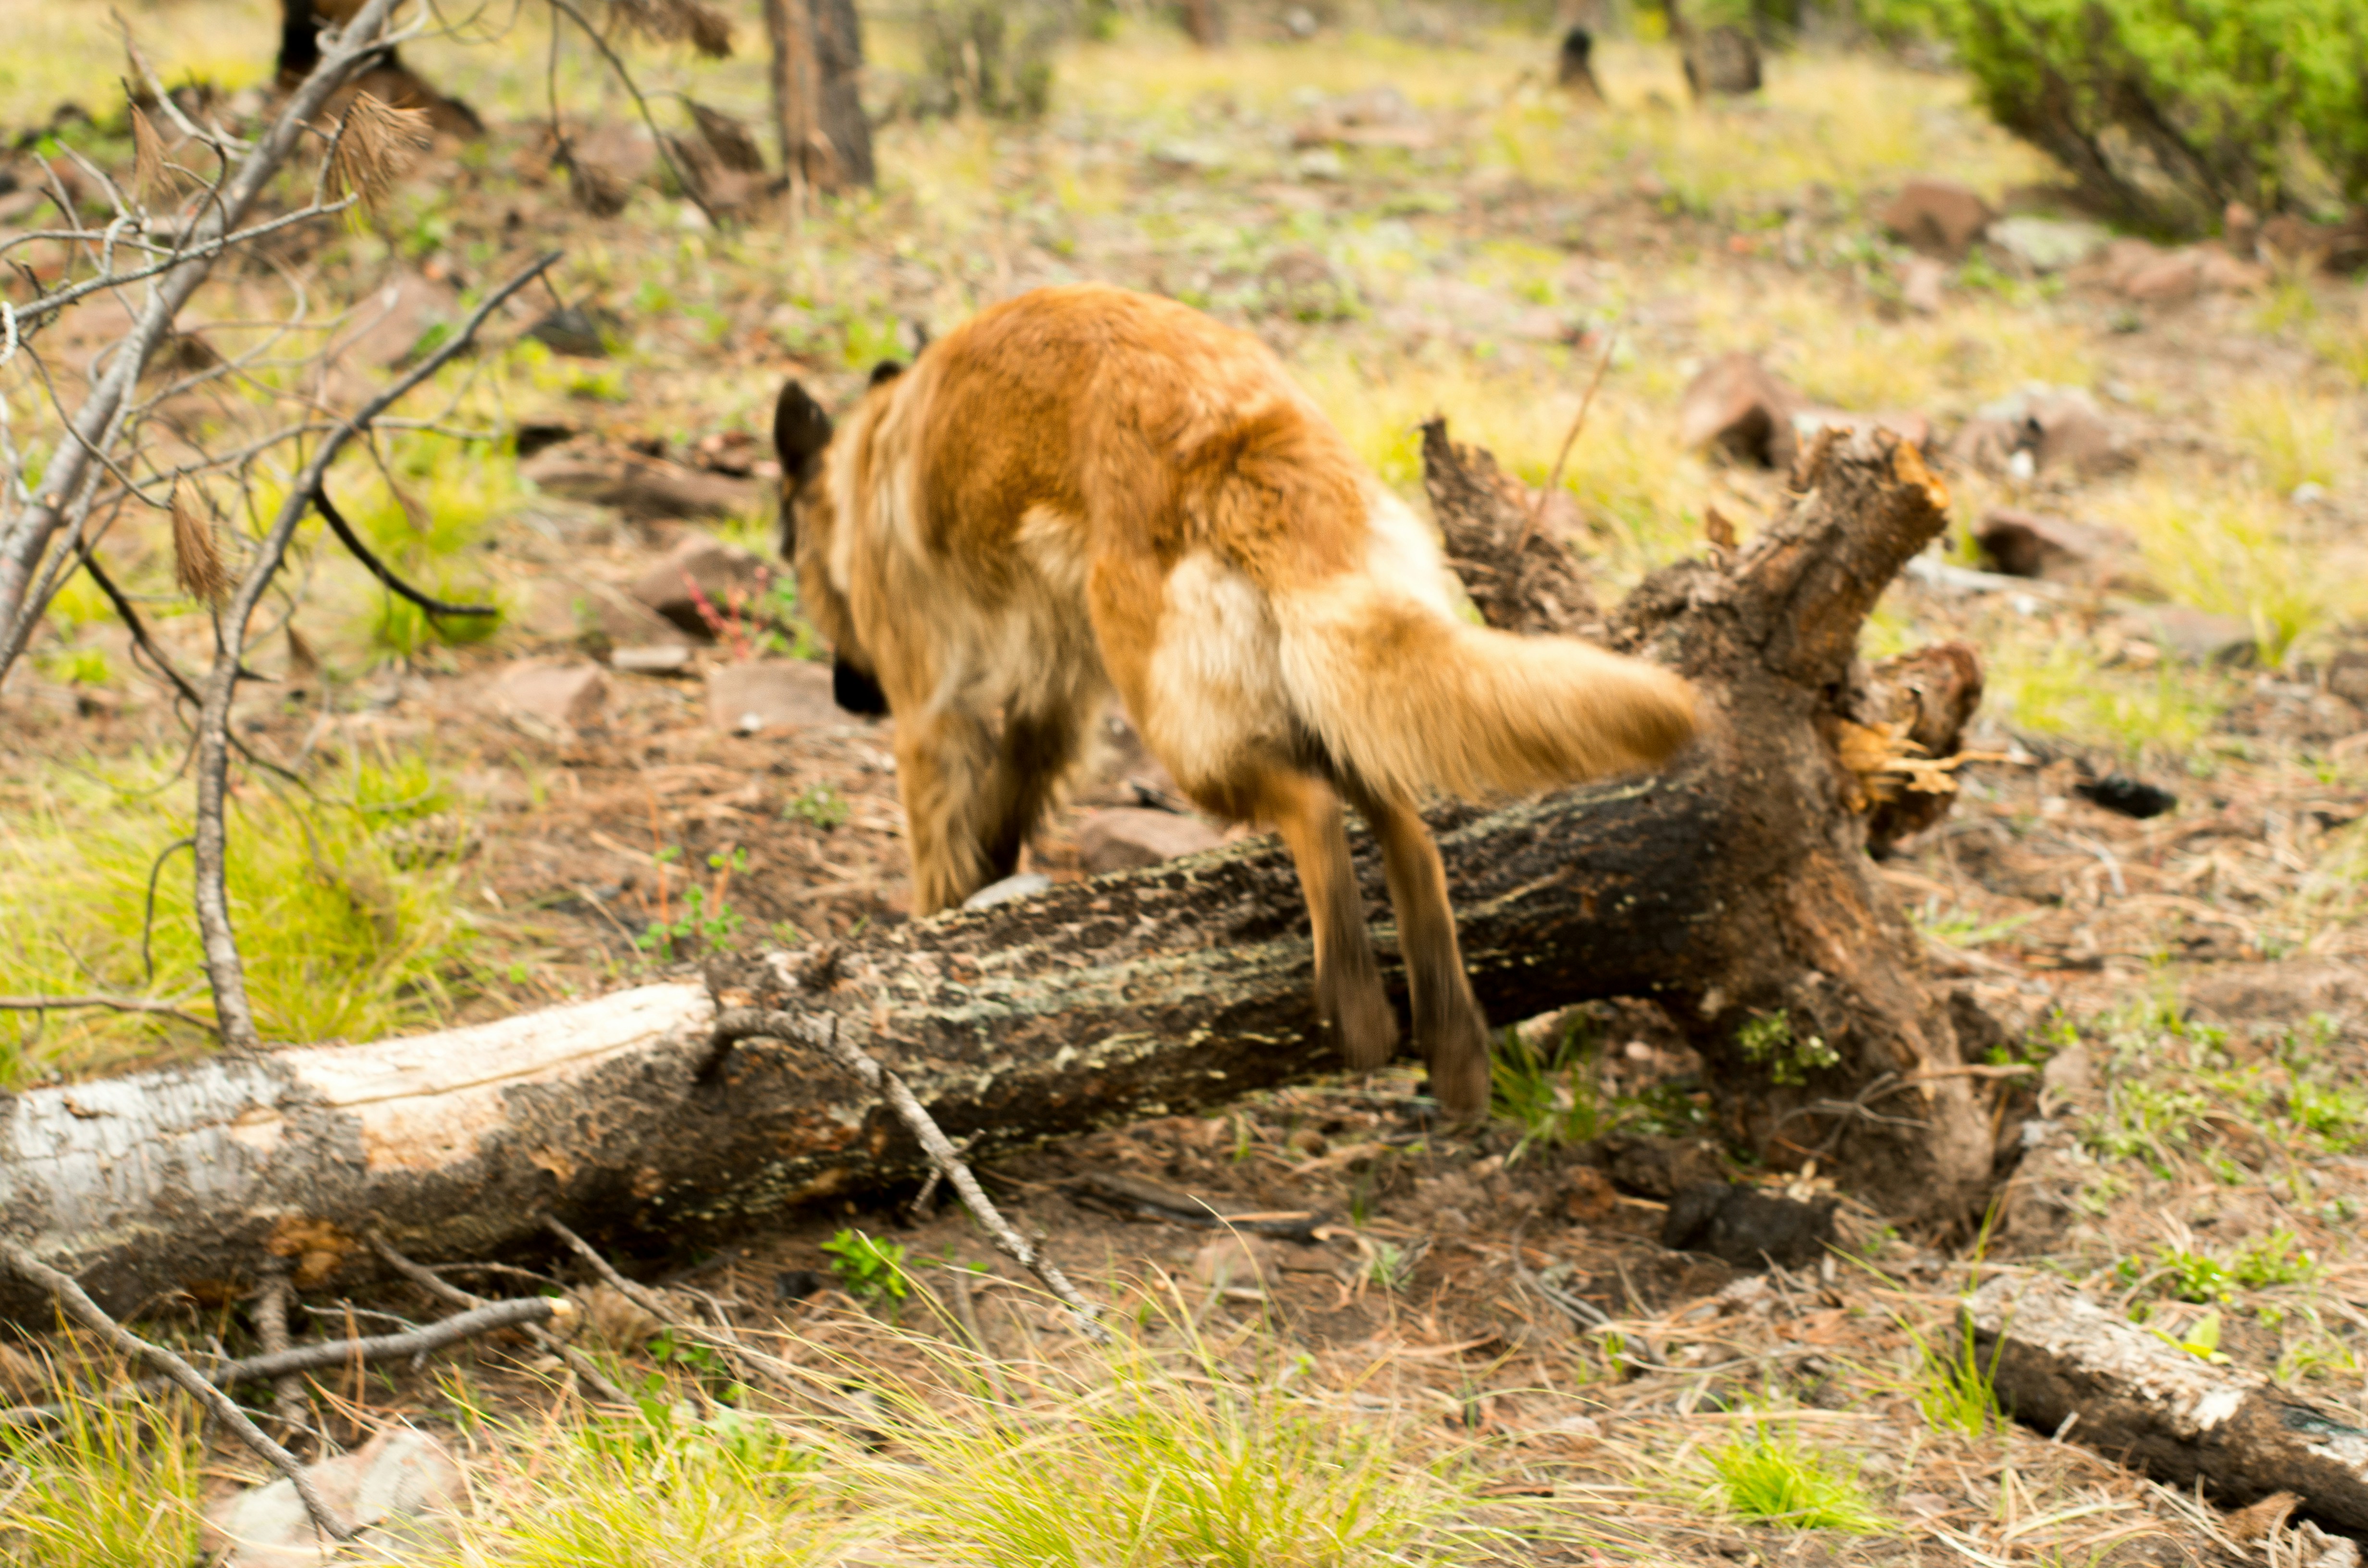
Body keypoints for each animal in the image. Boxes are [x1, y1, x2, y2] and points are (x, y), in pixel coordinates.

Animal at [771, 284, 1697, 1116]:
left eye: (797, 568)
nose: (846, 696)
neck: (873, 456)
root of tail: (1251, 446)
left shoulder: (930, 712)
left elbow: (939, 845)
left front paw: (924, 944)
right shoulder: (1053, 696)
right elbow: (1001, 813)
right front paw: (977, 894)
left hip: (1185, 728)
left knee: (1315, 811)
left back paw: (1358, 1007)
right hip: (1328, 684)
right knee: (1403, 822)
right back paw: (1451, 1034)